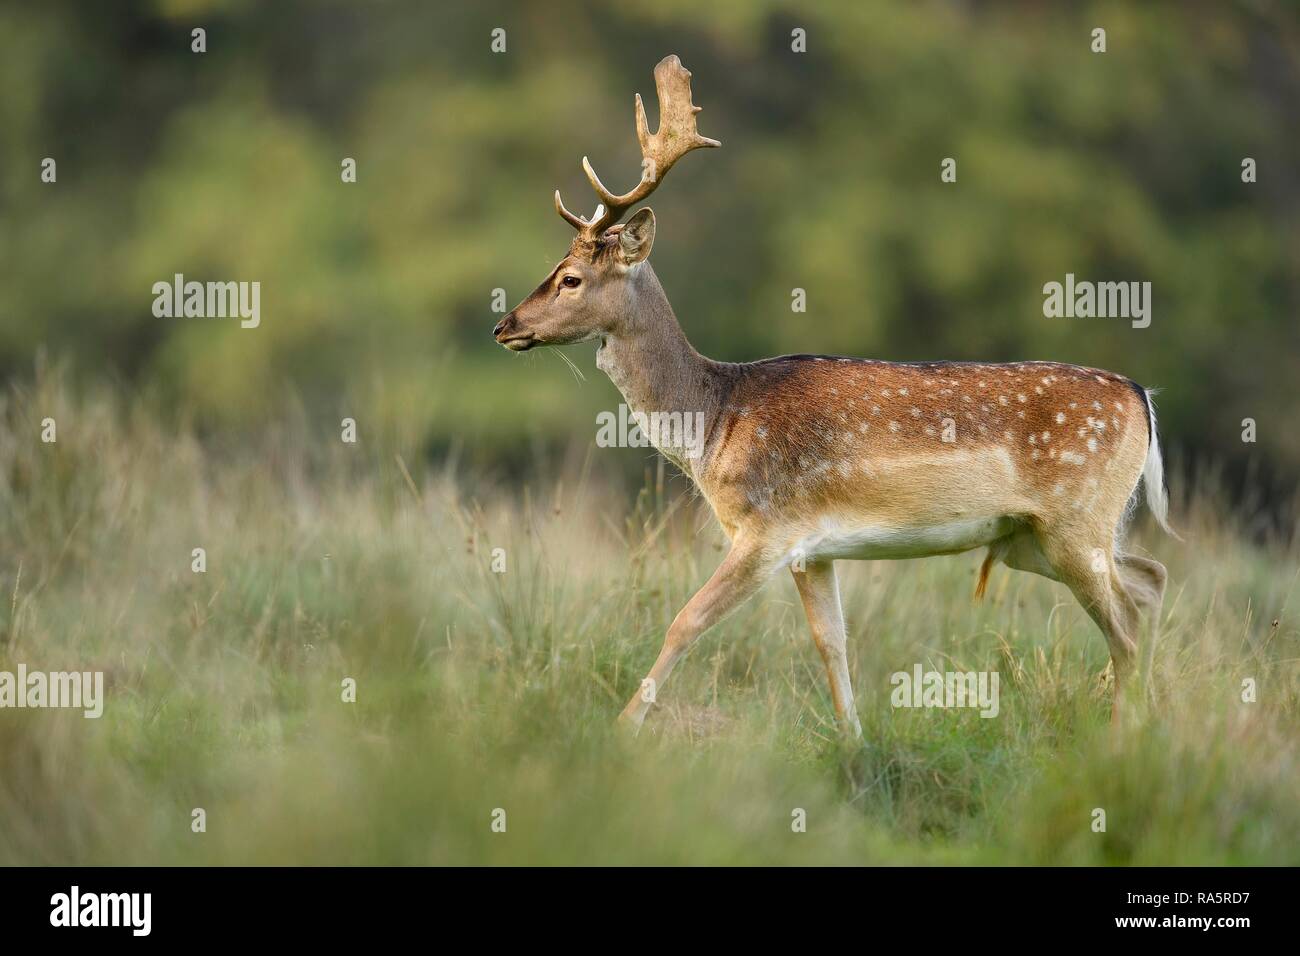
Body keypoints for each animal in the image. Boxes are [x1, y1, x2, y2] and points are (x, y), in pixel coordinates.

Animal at [494, 55, 1173, 736]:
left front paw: (622, 730)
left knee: (1125, 625)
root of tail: (1141, 396)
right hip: (1034, 540)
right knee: (1151, 578)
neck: (715, 421)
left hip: (1075, 520)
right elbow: (833, 644)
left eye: (571, 278)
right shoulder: (811, 550)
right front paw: (854, 741)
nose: (504, 325)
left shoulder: (765, 530)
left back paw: (1123, 737)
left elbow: (686, 622)